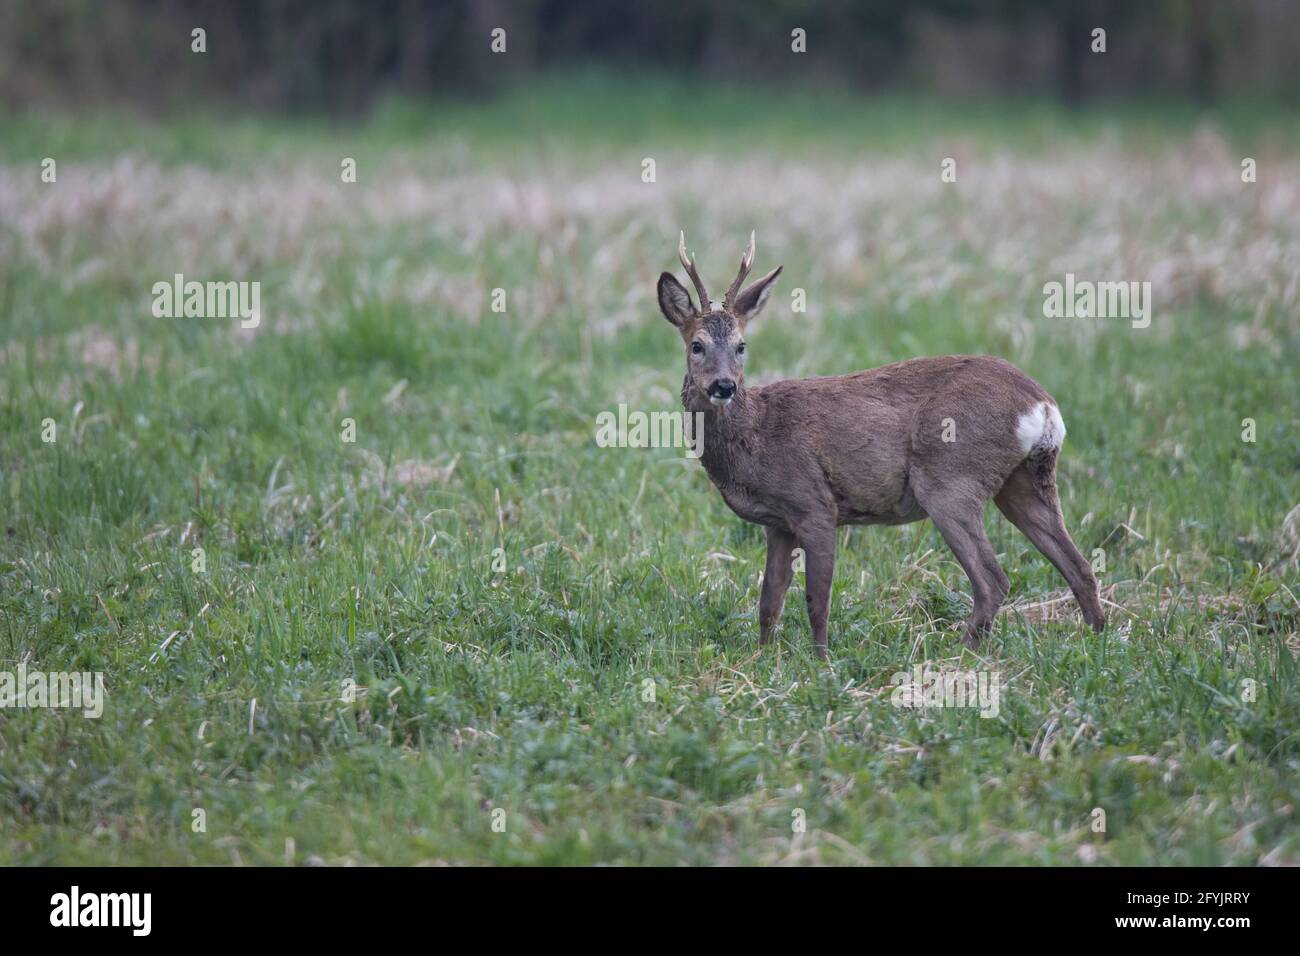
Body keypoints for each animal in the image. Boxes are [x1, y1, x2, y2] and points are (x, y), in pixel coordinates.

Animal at [657, 232, 1105, 659]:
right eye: (697, 345)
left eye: (741, 346)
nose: (724, 385)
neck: (756, 435)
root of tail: (1041, 404)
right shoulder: (778, 523)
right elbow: (769, 602)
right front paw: (763, 660)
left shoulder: (815, 503)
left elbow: (816, 600)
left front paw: (821, 664)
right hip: (1024, 478)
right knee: (1080, 566)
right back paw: (1099, 643)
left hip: (950, 478)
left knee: (993, 579)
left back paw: (958, 655)